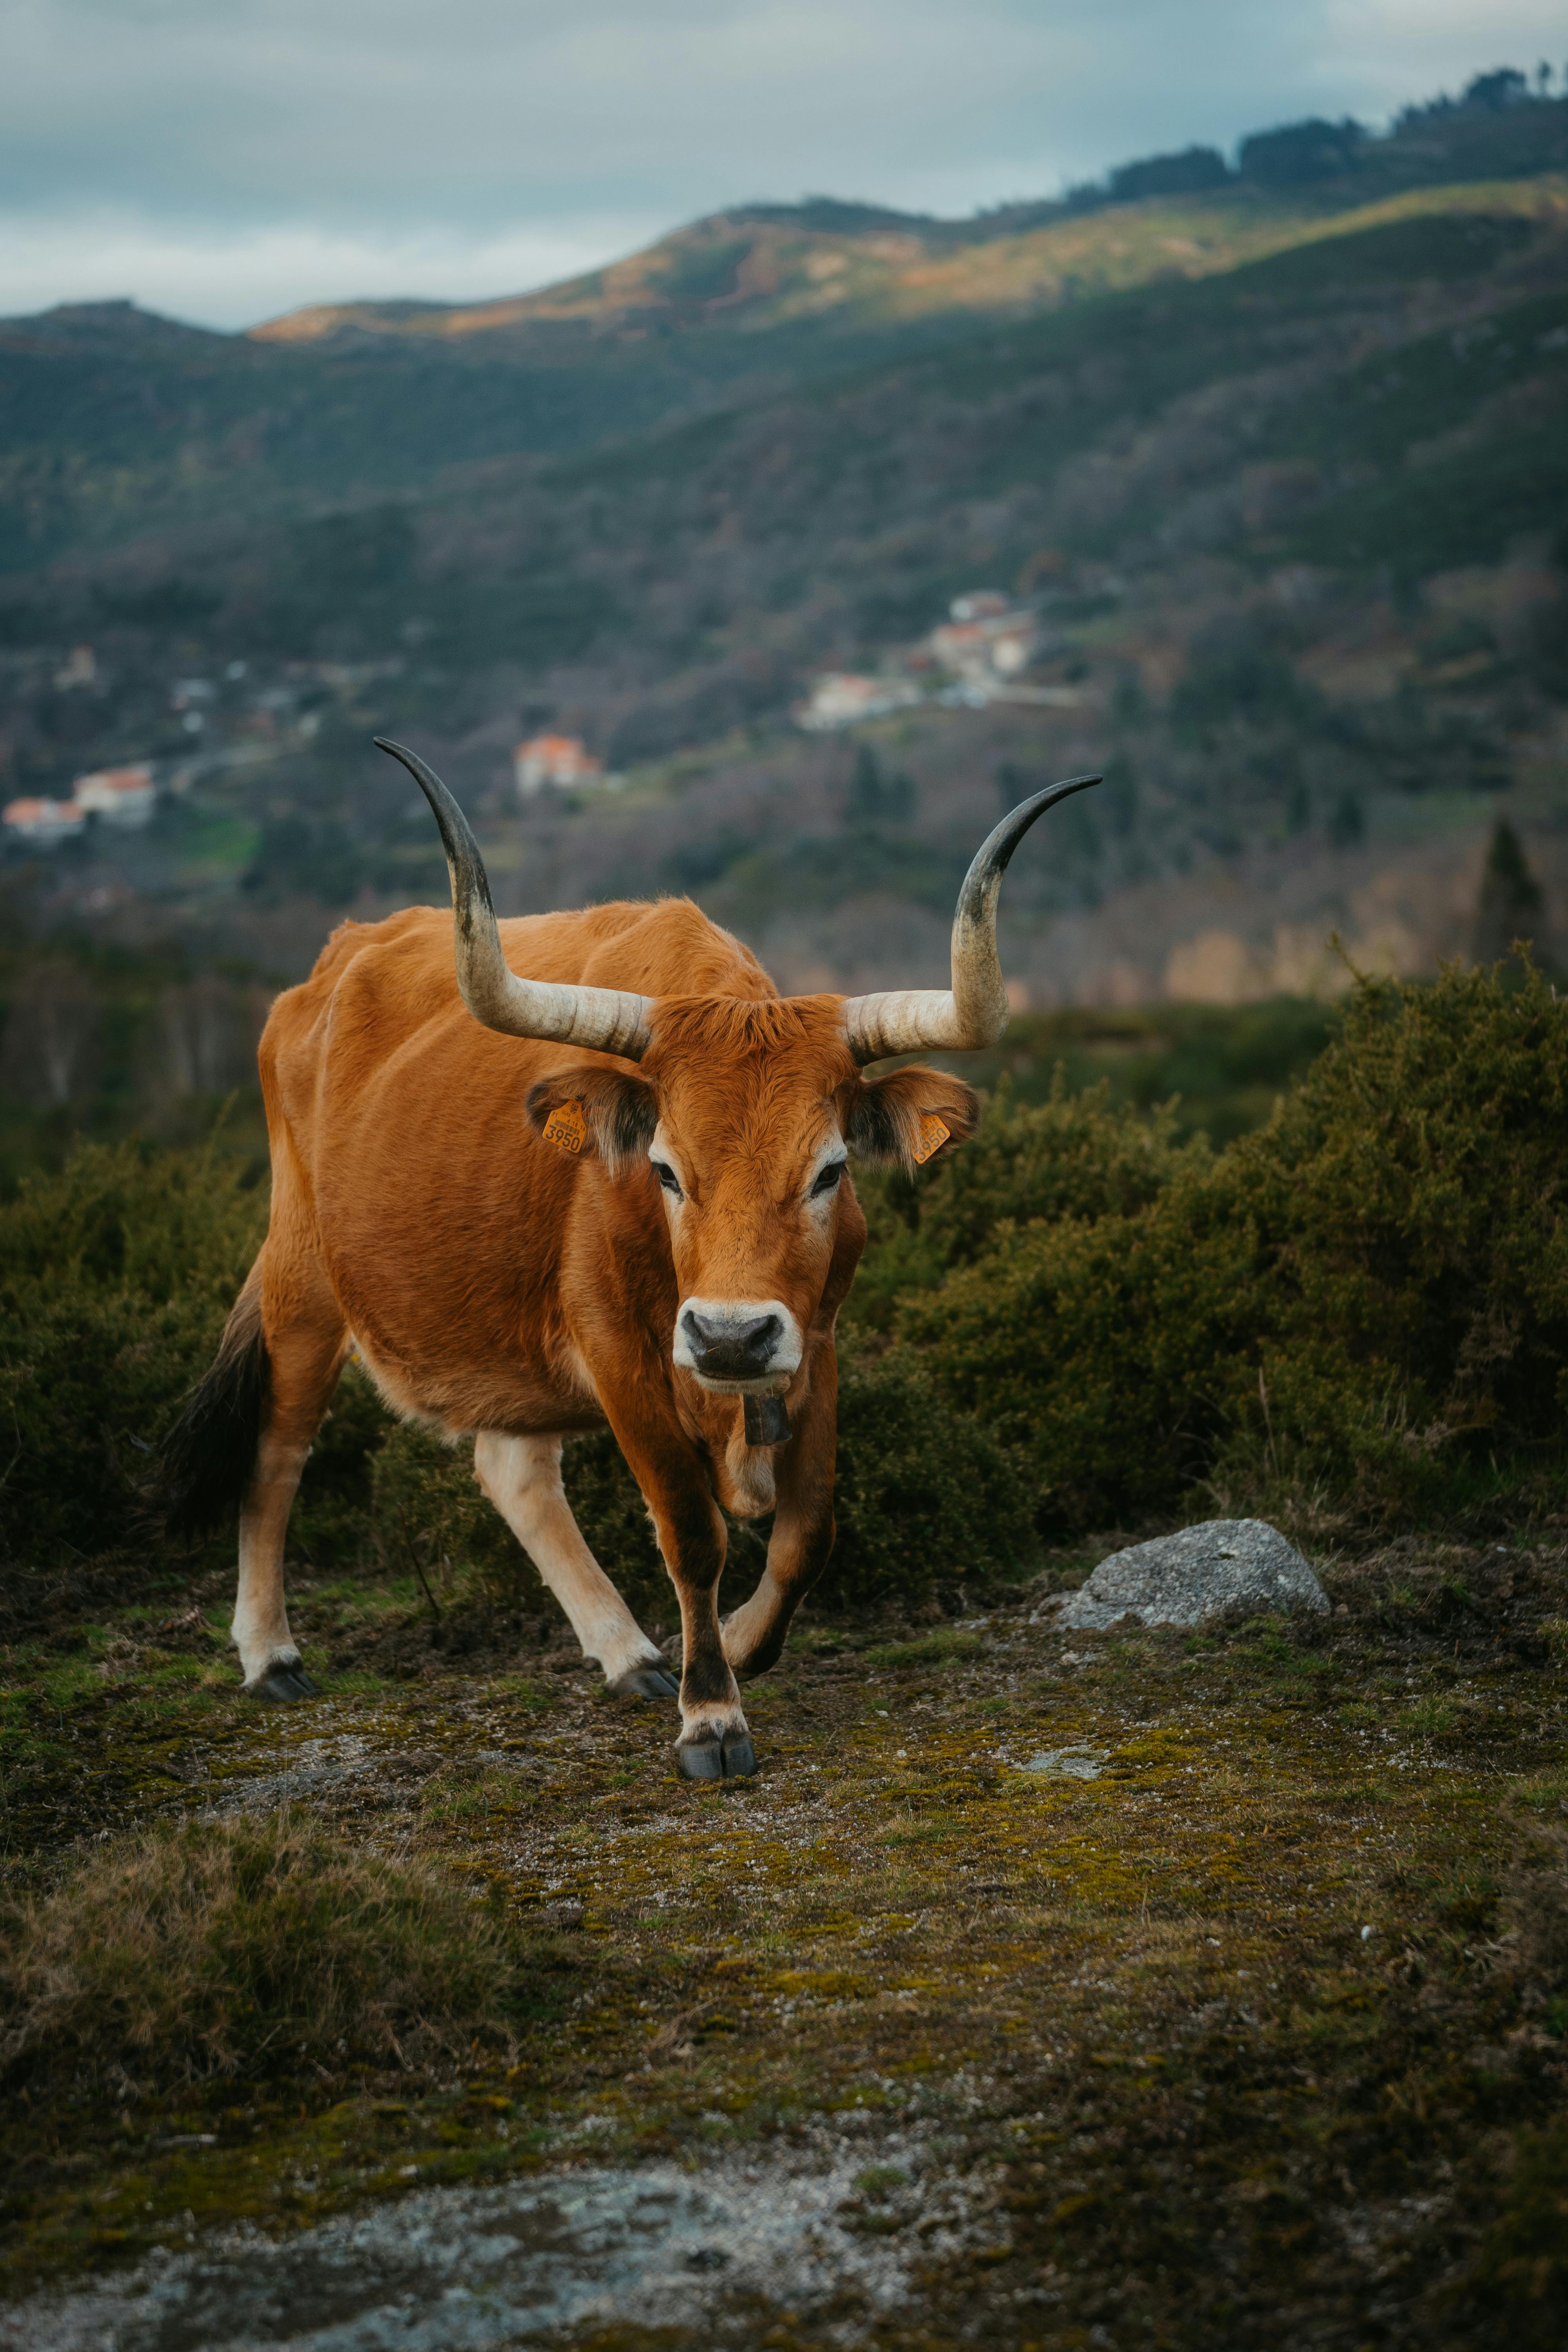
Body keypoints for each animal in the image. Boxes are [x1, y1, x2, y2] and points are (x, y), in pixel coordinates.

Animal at [163, 742, 1098, 1779]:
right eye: (663, 1169)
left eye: (829, 1170)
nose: (728, 1337)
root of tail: (324, 975)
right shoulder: (619, 1353)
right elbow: (691, 1531)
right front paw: (712, 1713)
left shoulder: (814, 1341)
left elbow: (806, 1533)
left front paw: (737, 1643)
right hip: (302, 1288)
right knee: (277, 1453)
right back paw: (270, 1655)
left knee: (512, 1471)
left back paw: (628, 1655)